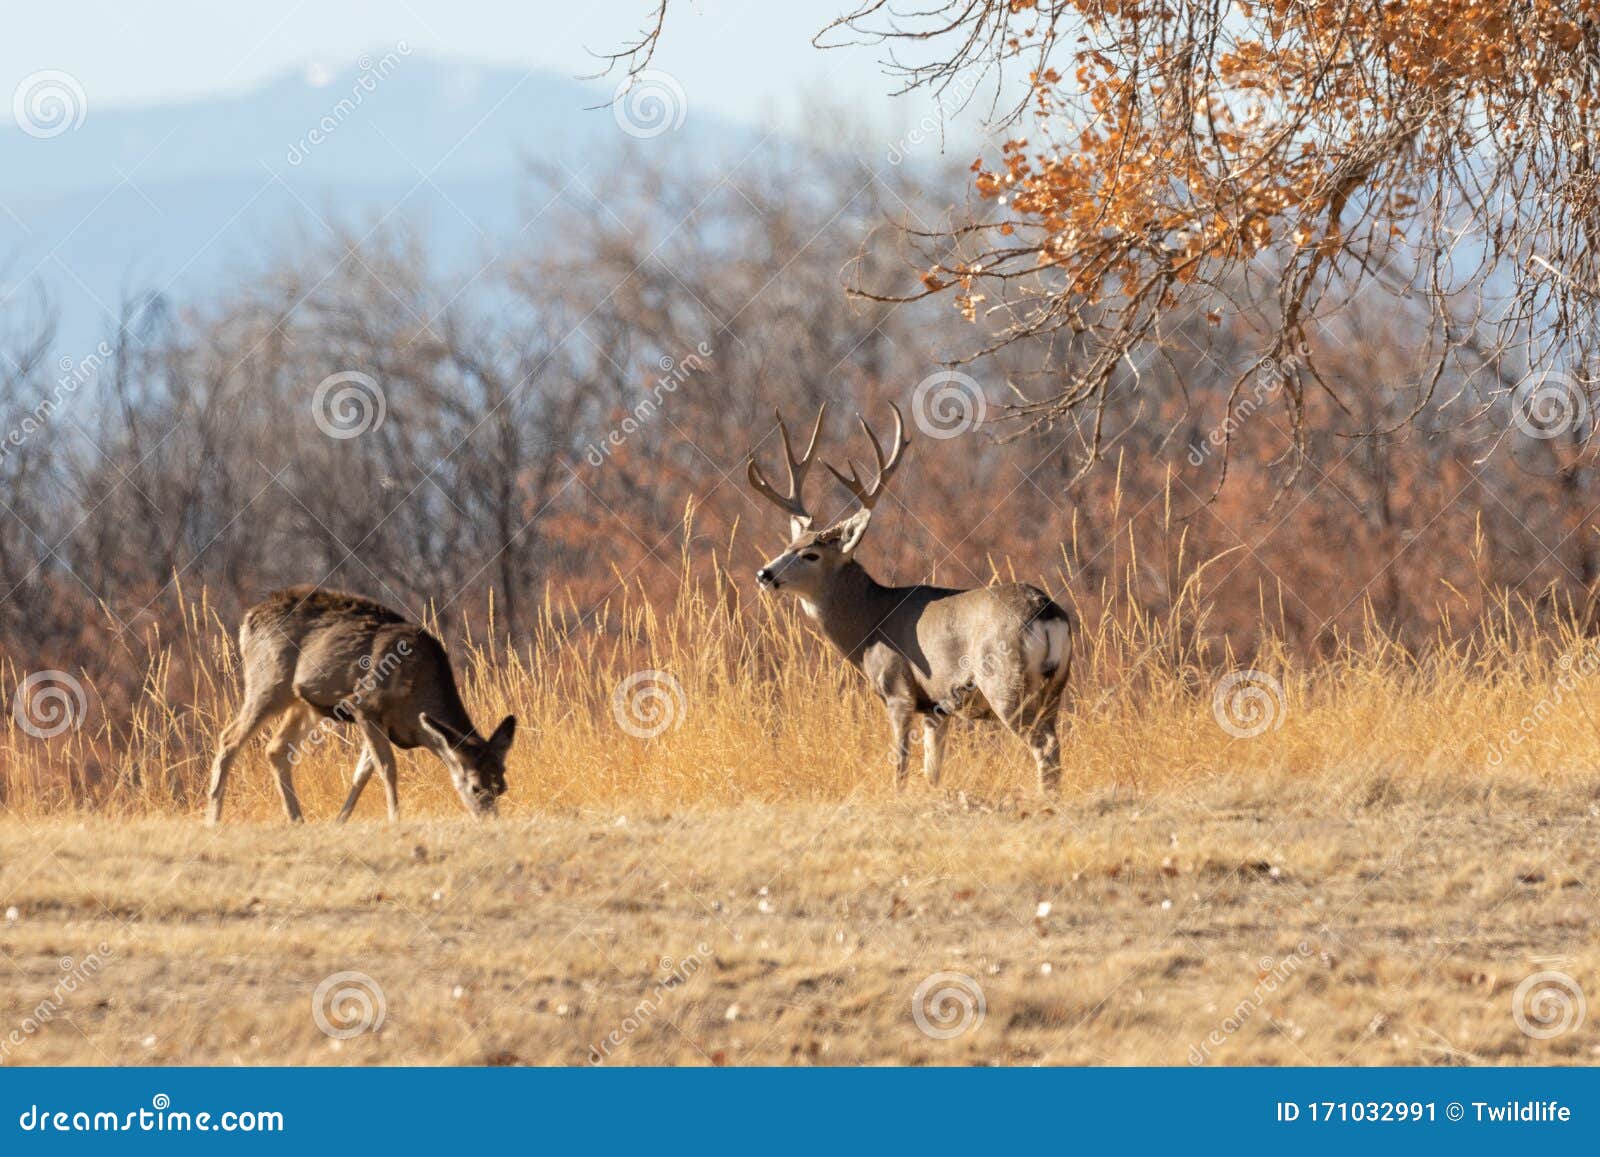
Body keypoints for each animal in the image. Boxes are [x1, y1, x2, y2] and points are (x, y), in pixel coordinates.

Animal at [205, 586, 517, 824]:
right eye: (476, 788)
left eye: (501, 787)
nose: (491, 822)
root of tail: (248, 619)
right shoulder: (365, 705)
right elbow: (386, 767)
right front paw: (395, 819)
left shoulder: (385, 721)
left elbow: (362, 773)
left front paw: (340, 821)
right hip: (268, 682)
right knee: (230, 738)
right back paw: (213, 818)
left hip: (304, 703)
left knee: (277, 748)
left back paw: (297, 819)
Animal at [748, 402, 1073, 792]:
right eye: (789, 544)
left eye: (811, 554)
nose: (764, 574)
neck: (870, 622)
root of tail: (1045, 611)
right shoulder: (935, 708)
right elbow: (933, 770)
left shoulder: (898, 690)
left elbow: (900, 763)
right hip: (1056, 687)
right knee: (1056, 743)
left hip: (1004, 682)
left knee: (1046, 747)